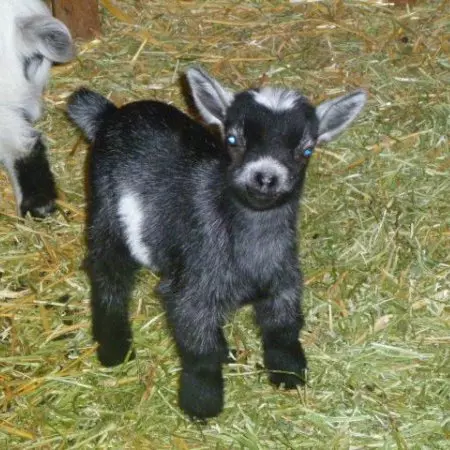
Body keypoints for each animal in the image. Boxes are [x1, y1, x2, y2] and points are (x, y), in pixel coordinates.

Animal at [68, 67, 368, 418]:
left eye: (306, 150)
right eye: (233, 139)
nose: (265, 177)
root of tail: (110, 113)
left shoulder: (283, 281)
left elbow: (282, 329)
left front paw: (289, 374)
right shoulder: (192, 292)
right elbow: (200, 353)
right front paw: (202, 403)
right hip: (106, 210)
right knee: (108, 272)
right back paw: (114, 348)